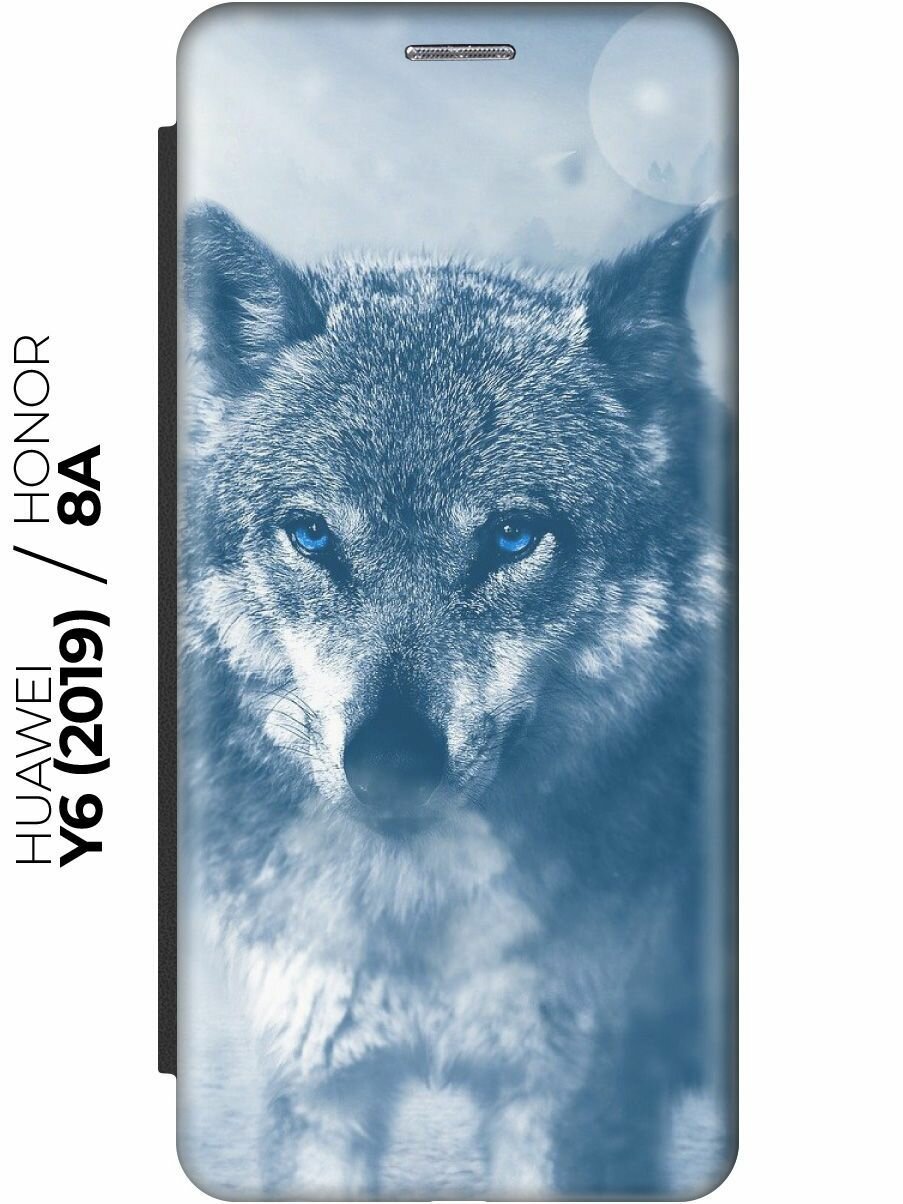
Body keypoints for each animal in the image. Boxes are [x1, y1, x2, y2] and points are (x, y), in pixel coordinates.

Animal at [179, 202, 734, 1199]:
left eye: (512, 536)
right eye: (312, 535)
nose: (392, 764)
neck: (416, 914)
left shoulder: (572, 1099)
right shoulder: (321, 1088)